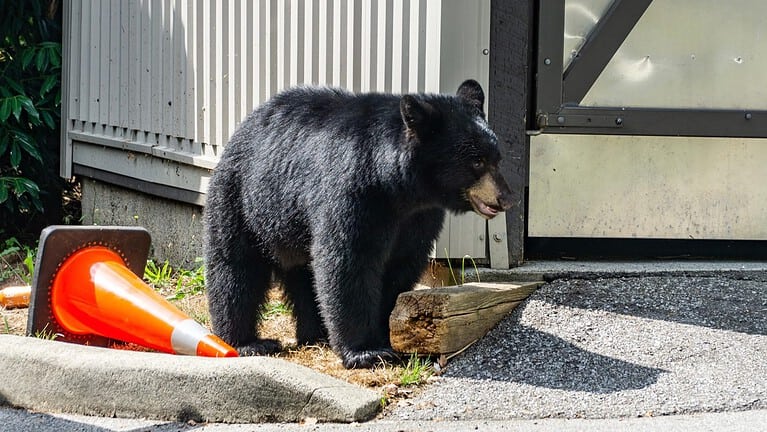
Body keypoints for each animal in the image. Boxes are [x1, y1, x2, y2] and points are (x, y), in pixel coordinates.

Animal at [204, 79, 513, 368]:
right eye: (476, 161)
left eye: (497, 158)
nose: (506, 198)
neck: (399, 189)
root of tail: (245, 125)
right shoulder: (356, 193)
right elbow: (349, 262)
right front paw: (366, 351)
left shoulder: (419, 217)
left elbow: (401, 263)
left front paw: (389, 331)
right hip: (243, 197)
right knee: (235, 267)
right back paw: (246, 342)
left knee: (304, 276)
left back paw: (316, 333)